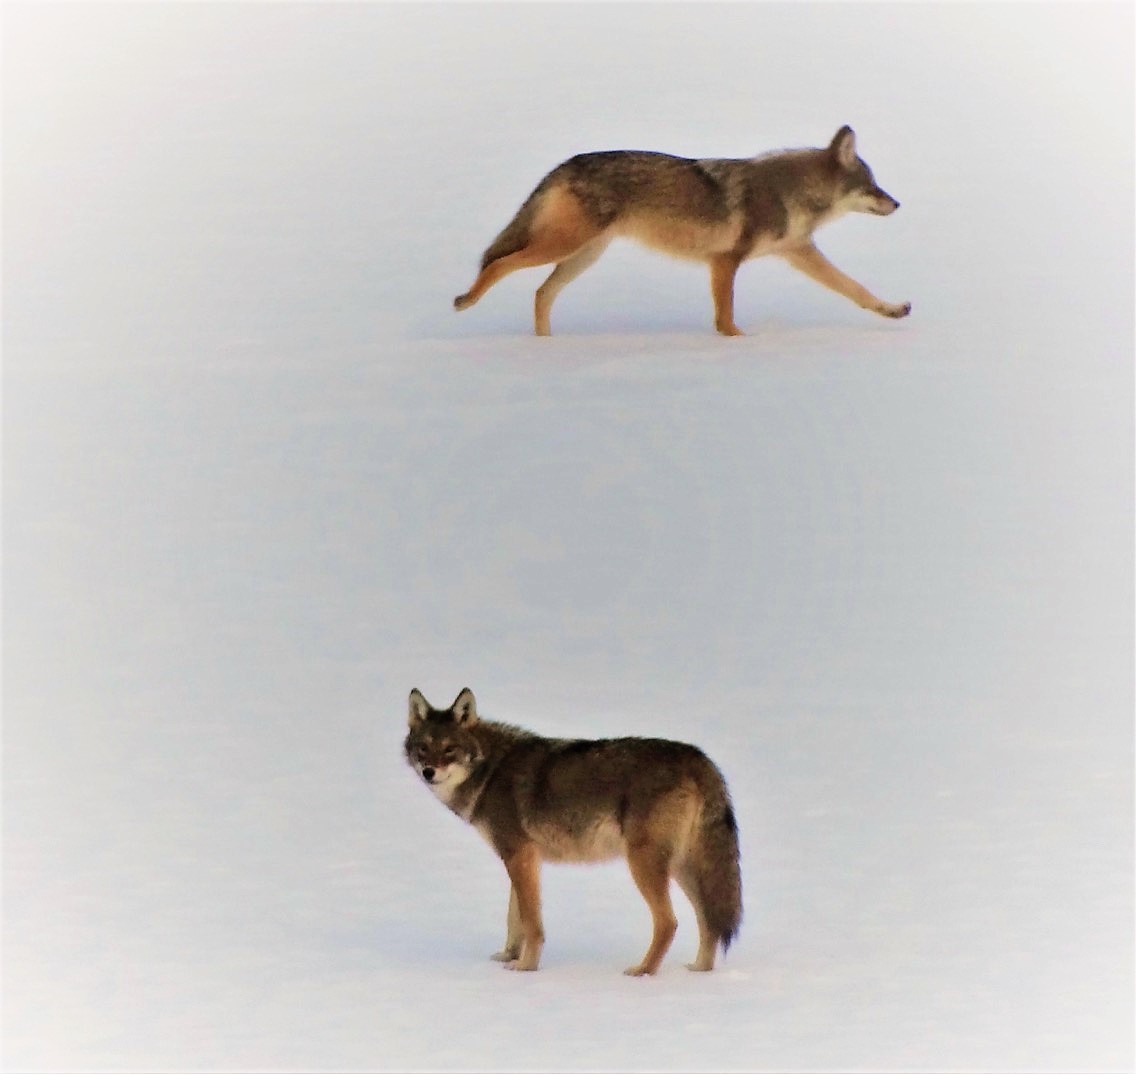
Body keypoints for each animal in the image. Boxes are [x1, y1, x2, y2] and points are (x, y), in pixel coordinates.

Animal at [403, 688, 742, 975]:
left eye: (449, 750)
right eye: (423, 748)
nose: (428, 772)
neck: (490, 771)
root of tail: (699, 757)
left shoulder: (518, 855)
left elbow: (531, 922)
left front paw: (525, 967)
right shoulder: (522, 857)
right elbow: (515, 918)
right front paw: (509, 957)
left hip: (645, 865)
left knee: (669, 922)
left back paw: (643, 972)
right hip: (681, 867)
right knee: (709, 920)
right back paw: (699, 970)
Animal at [454, 125, 909, 336]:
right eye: (873, 186)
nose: (897, 203)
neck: (793, 192)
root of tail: (566, 163)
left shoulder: (798, 253)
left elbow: (855, 288)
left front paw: (892, 310)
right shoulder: (725, 261)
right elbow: (725, 318)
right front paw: (740, 342)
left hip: (581, 256)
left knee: (540, 293)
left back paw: (544, 347)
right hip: (562, 247)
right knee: (498, 265)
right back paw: (466, 302)